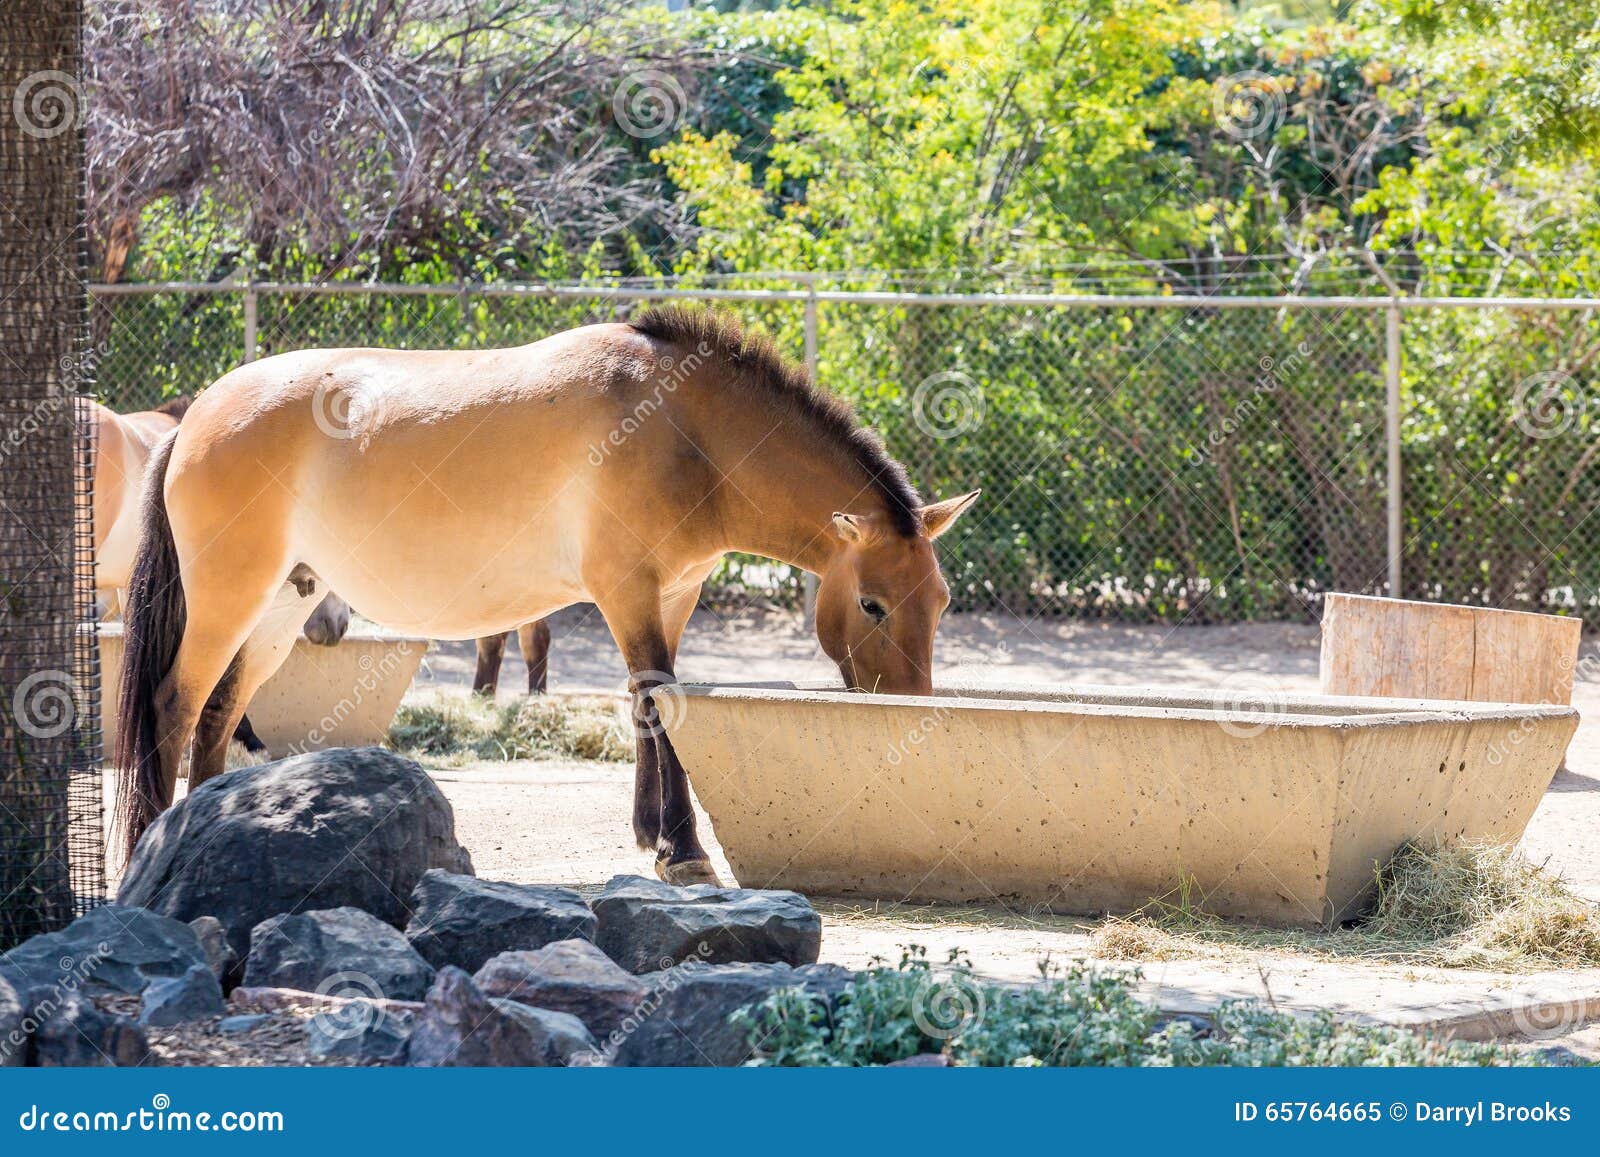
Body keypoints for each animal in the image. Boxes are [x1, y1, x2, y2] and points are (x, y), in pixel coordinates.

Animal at [114, 307, 979, 883]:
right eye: (872, 604)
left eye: (938, 603)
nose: (910, 704)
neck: (685, 427)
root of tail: (195, 417)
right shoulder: (628, 594)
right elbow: (661, 700)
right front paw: (685, 849)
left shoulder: (671, 598)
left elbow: (643, 705)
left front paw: (652, 835)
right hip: (229, 598)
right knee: (176, 706)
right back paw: (148, 847)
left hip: (281, 605)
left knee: (218, 715)